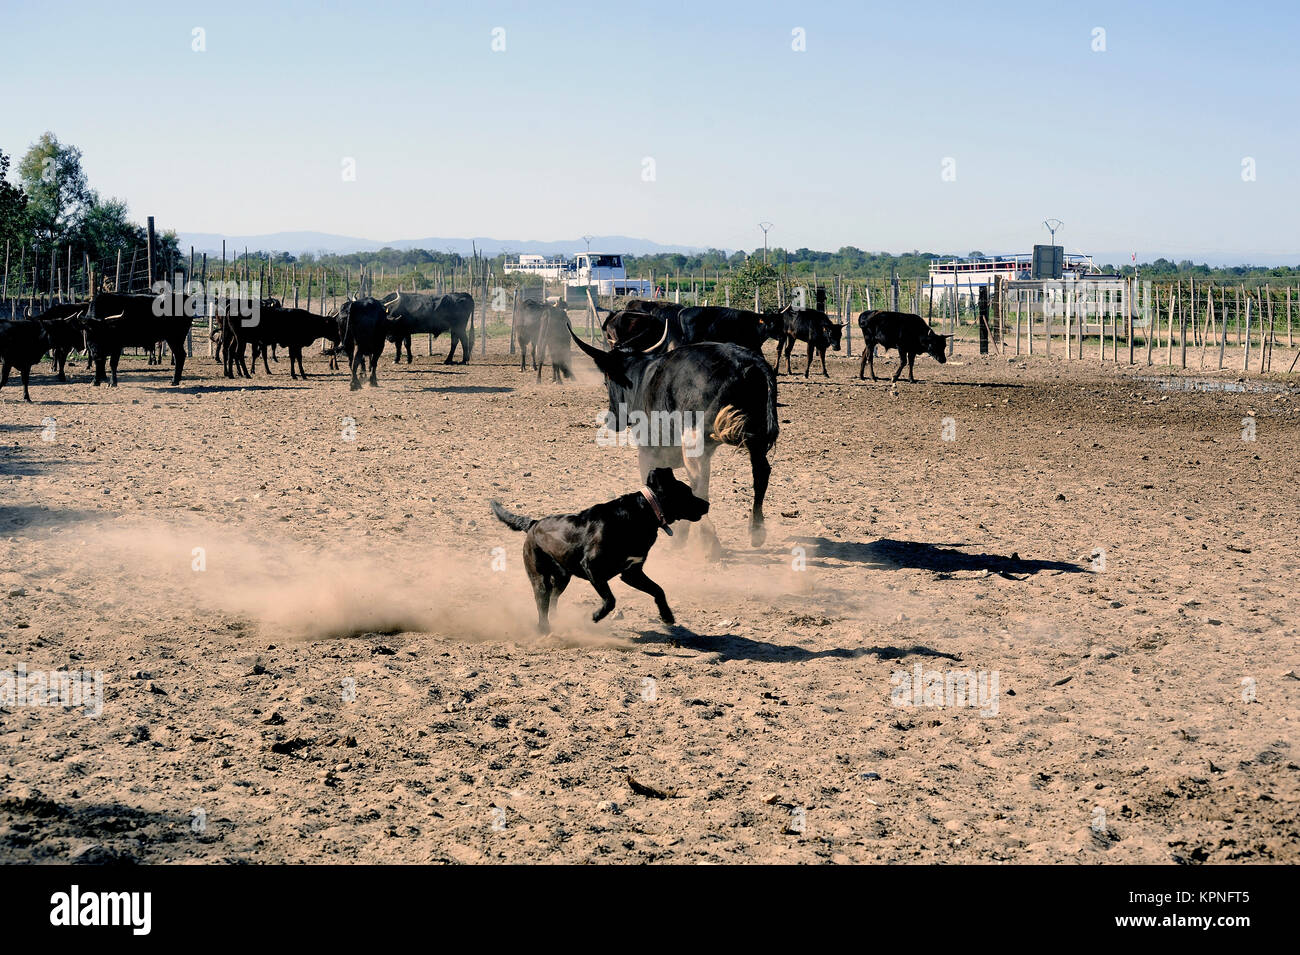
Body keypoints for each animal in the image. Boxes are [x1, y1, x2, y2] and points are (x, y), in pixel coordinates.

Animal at [569, 322, 778, 559]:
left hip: (693, 443)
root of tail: (748, 363)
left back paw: (710, 543)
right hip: (755, 438)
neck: (641, 379)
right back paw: (756, 531)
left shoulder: (648, 453)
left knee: (700, 484)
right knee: (760, 474)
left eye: (606, 380)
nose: (611, 420)